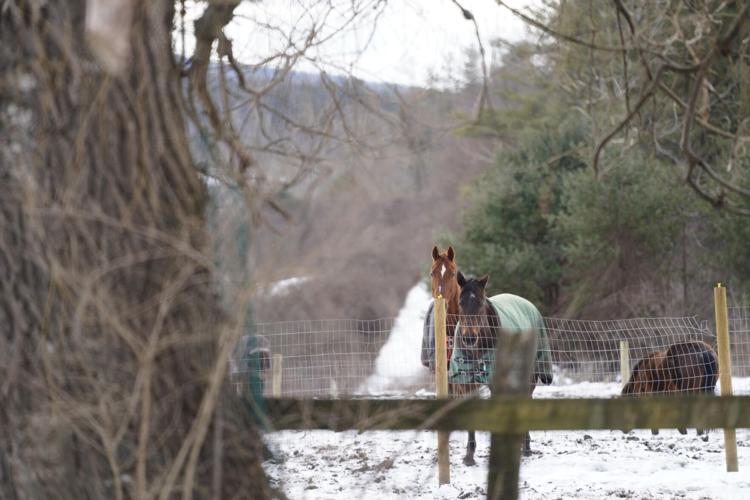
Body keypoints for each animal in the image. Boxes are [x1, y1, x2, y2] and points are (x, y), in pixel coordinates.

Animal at [452, 272, 553, 465]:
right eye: (460, 302)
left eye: (480, 303)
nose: (469, 338)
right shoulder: (466, 383)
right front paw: (469, 456)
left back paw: (526, 447)